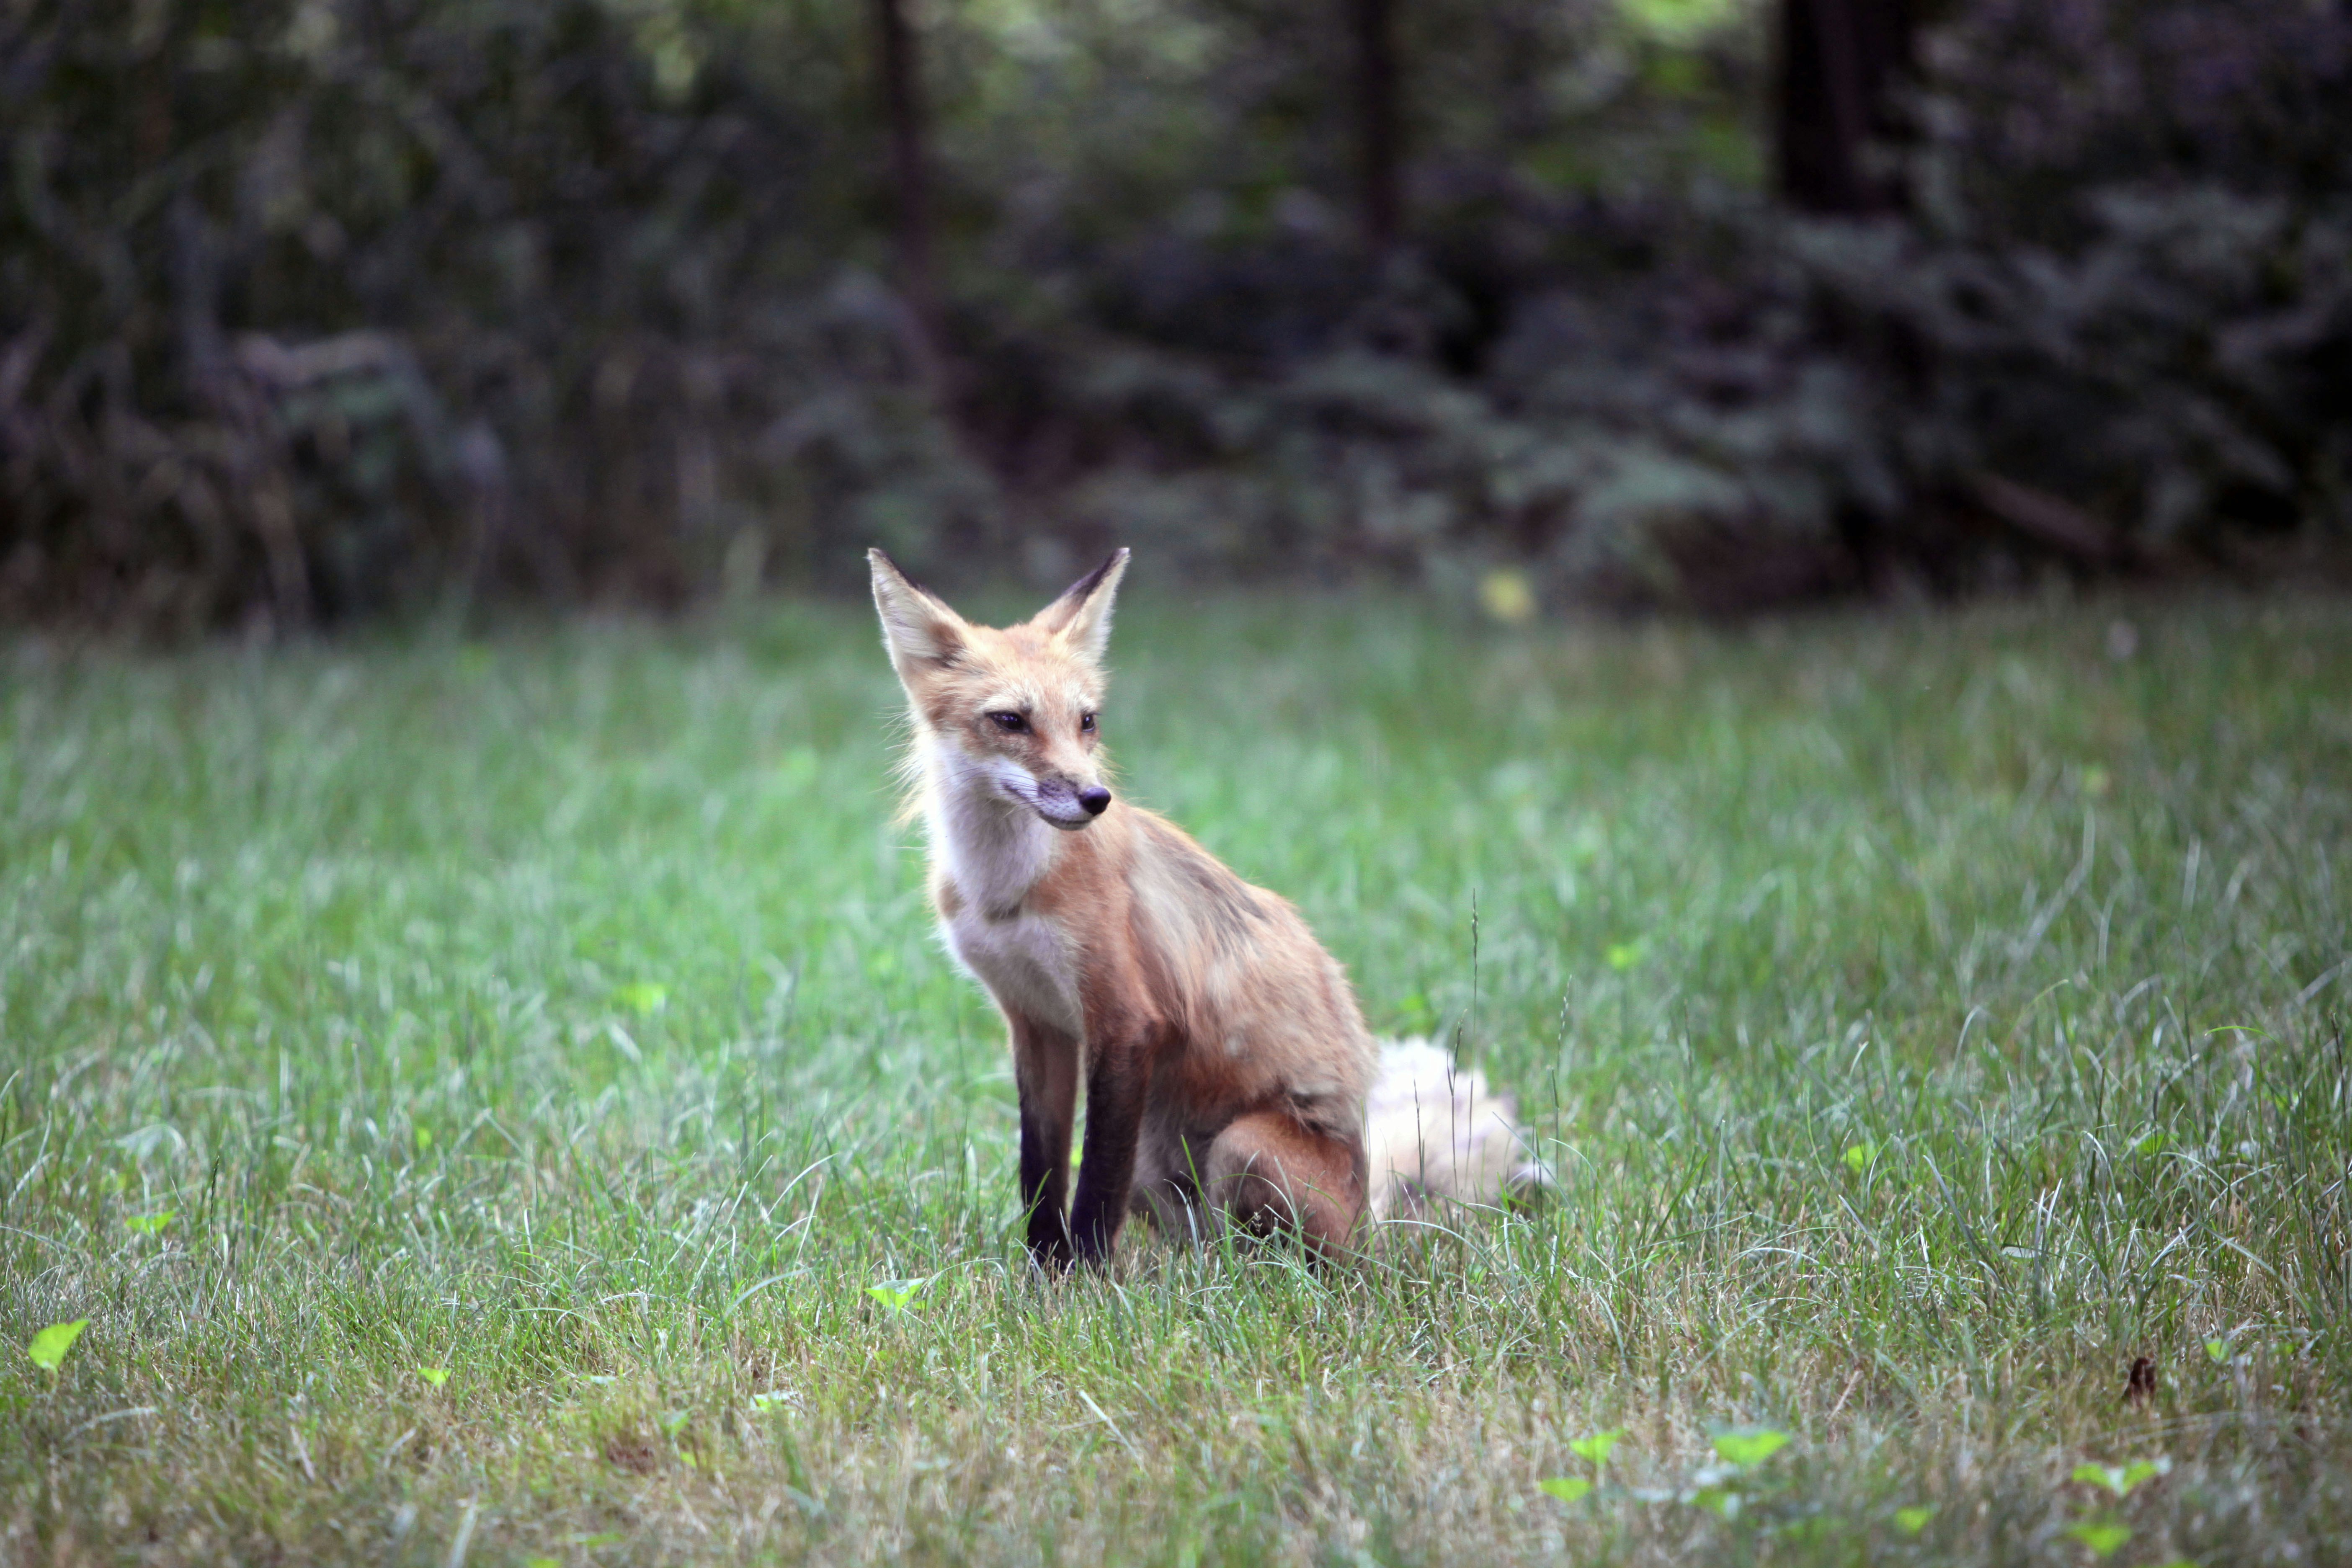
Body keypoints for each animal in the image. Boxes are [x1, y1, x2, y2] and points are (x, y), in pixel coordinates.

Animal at [869, 546, 1546, 1268]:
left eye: (1088, 721)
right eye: (1011, 721)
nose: (1095, 798)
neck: (1007, 894)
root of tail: (1372, 1222)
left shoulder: (1125, 1021)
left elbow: (1094, 1187)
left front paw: (1084, 1280)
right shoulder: (1035, 1023)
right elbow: (1042, 1174)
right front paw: (1042, 1273)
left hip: (1241, 1147)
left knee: (1285, 1260)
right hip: (1157, 1167)